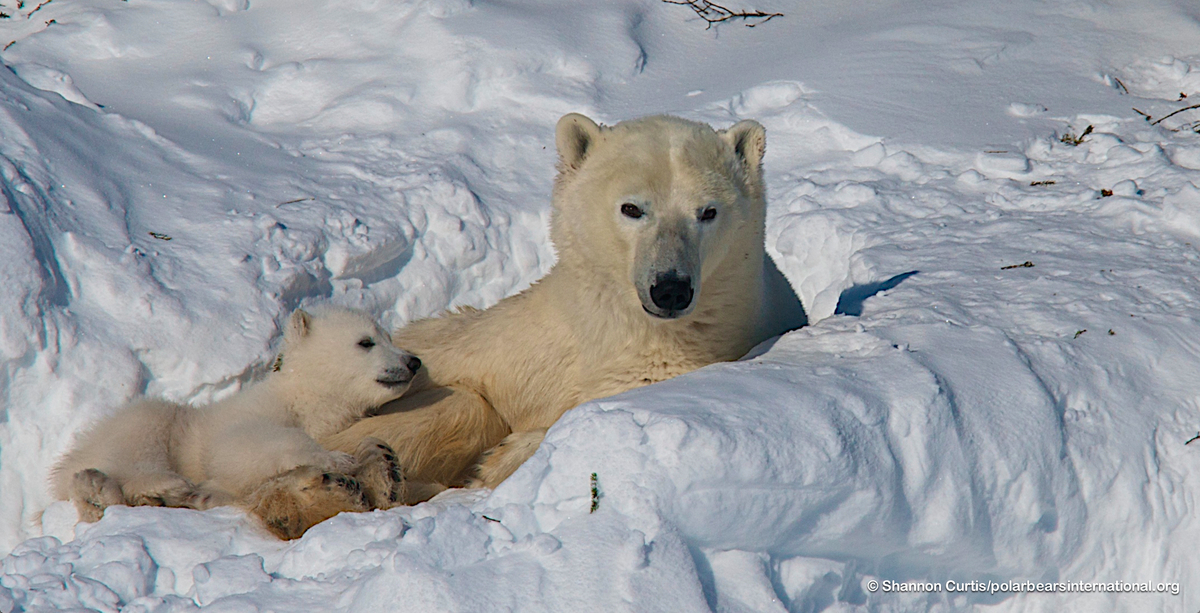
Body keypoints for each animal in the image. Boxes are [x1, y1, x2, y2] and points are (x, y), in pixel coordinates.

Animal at [51, 306, 431, 539]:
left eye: (388, 336)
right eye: (366, 341)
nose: (412, 361)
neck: (306, 398)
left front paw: (381, 468)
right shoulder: (254, 413)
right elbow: (238, 446)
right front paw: (336, 458)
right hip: (146, 427)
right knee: (143, 435)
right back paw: (157, 487)